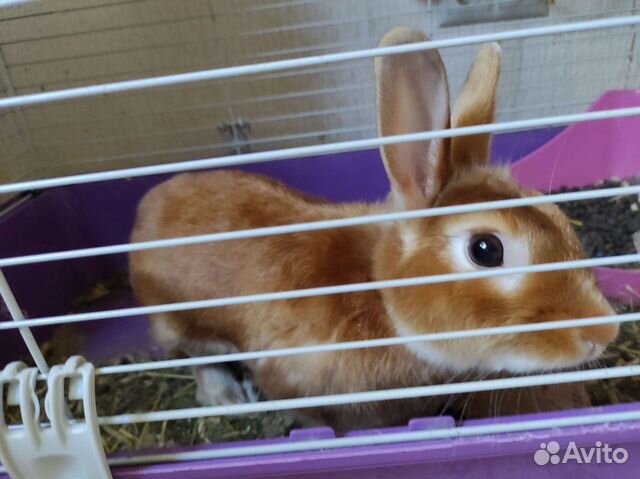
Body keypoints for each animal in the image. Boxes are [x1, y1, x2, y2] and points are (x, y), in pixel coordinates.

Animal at [129, 27, 618, 430]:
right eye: (486, 250)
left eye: (558, 217)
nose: (603, 333)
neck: (380, 295)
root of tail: (147, 207)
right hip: (182, 322)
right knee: (197, 358)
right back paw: (227, 397)